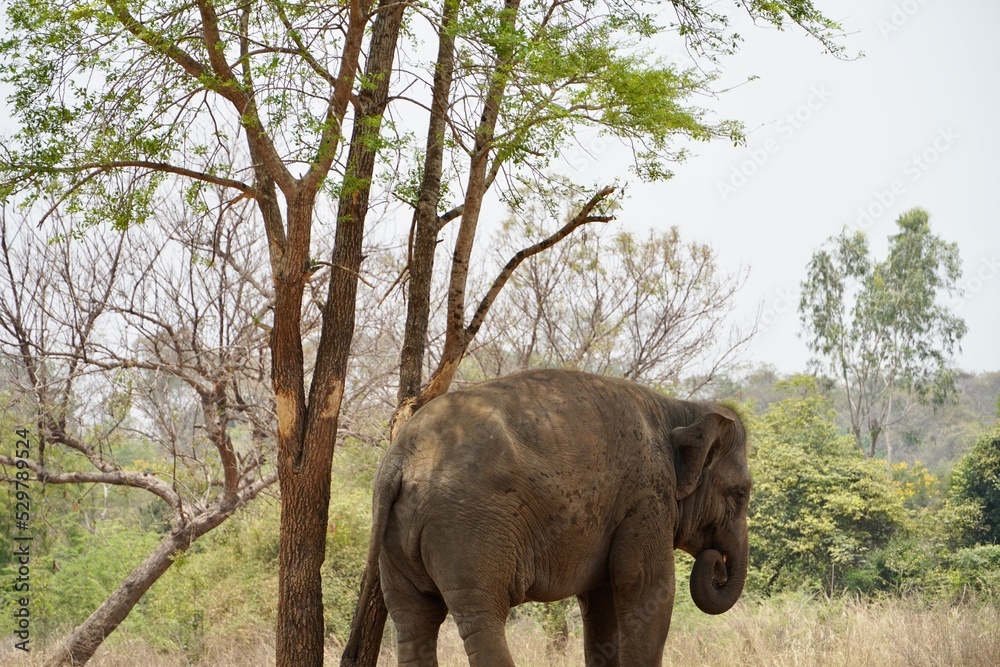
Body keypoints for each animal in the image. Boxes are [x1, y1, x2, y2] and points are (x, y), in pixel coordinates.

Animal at [350, 368, 750, 666]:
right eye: (741, 493)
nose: (716, 564)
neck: (679, 410)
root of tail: (399, 458)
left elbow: (602, 599)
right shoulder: (646, 497)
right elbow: (647, 586)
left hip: (395, 535)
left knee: (412, 617)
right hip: (465, 527)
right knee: (481, 617)